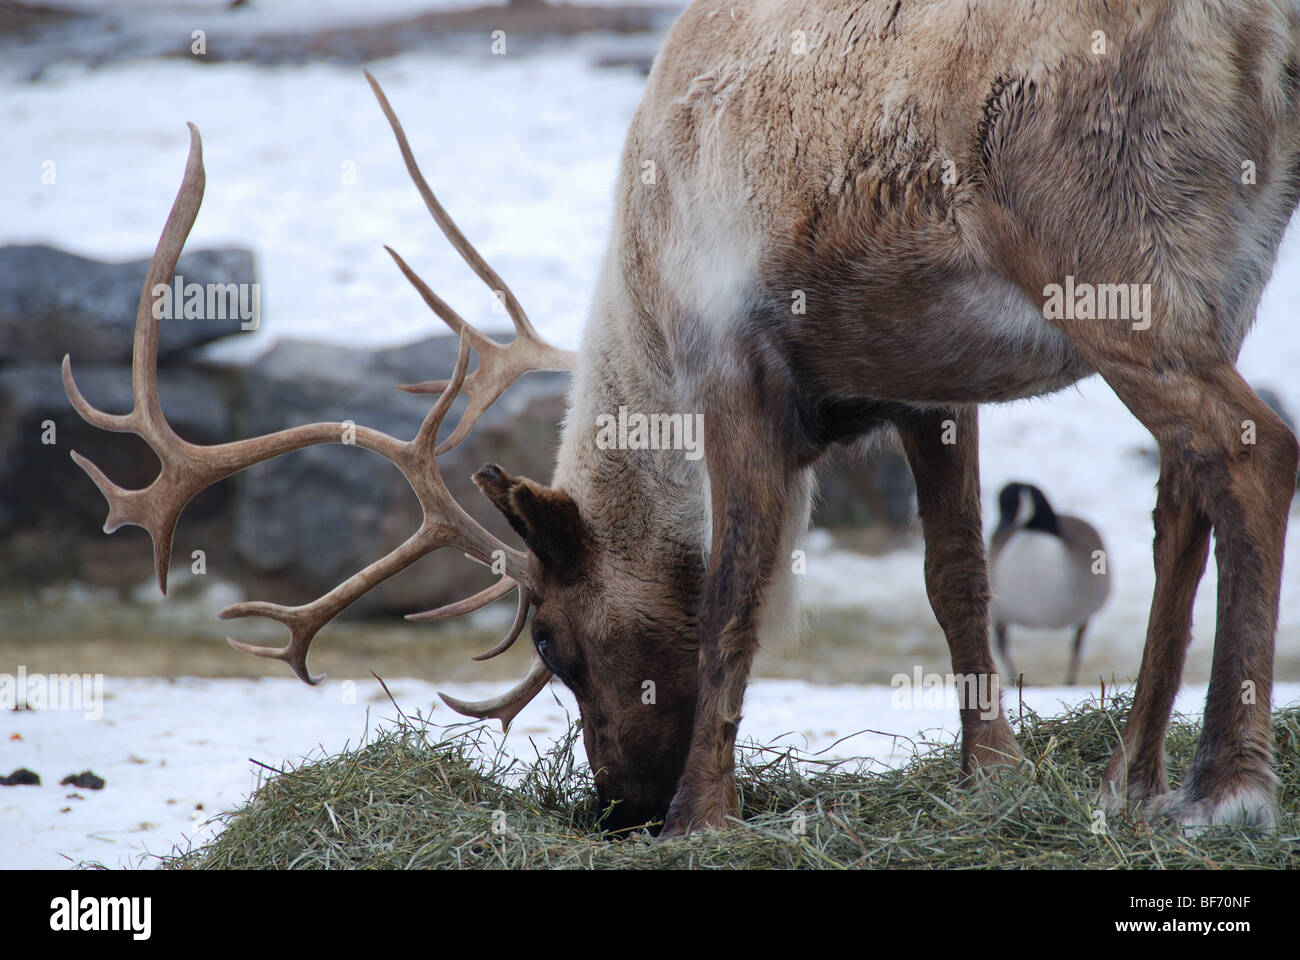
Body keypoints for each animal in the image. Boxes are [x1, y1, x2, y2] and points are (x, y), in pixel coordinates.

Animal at [65, 0, 1300, 836]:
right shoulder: (930, 387)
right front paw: (987, 772)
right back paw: (1129, 776)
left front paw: (700, 814)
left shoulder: (730, 364)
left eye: (551, 641)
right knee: (1180, 499)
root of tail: (1255, 33)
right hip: (1219, 290)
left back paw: (1225, 784)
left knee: (1250, 451)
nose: (618, 800)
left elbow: (730, 596)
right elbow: (957, 581)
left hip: (1110, 264)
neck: (644, 311)